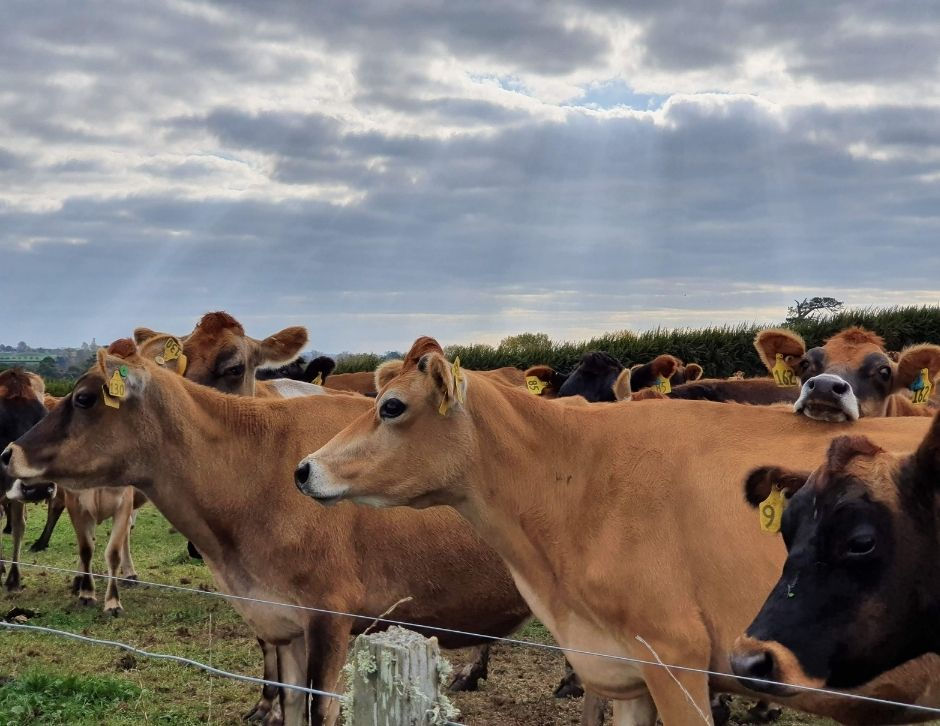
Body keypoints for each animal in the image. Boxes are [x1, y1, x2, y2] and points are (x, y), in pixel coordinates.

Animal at [1, 339, 533, 726]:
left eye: (84, 398)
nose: (8, 453)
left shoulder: (330, 615)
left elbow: (320, 710)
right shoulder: (279, 620)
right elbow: (290, 704)